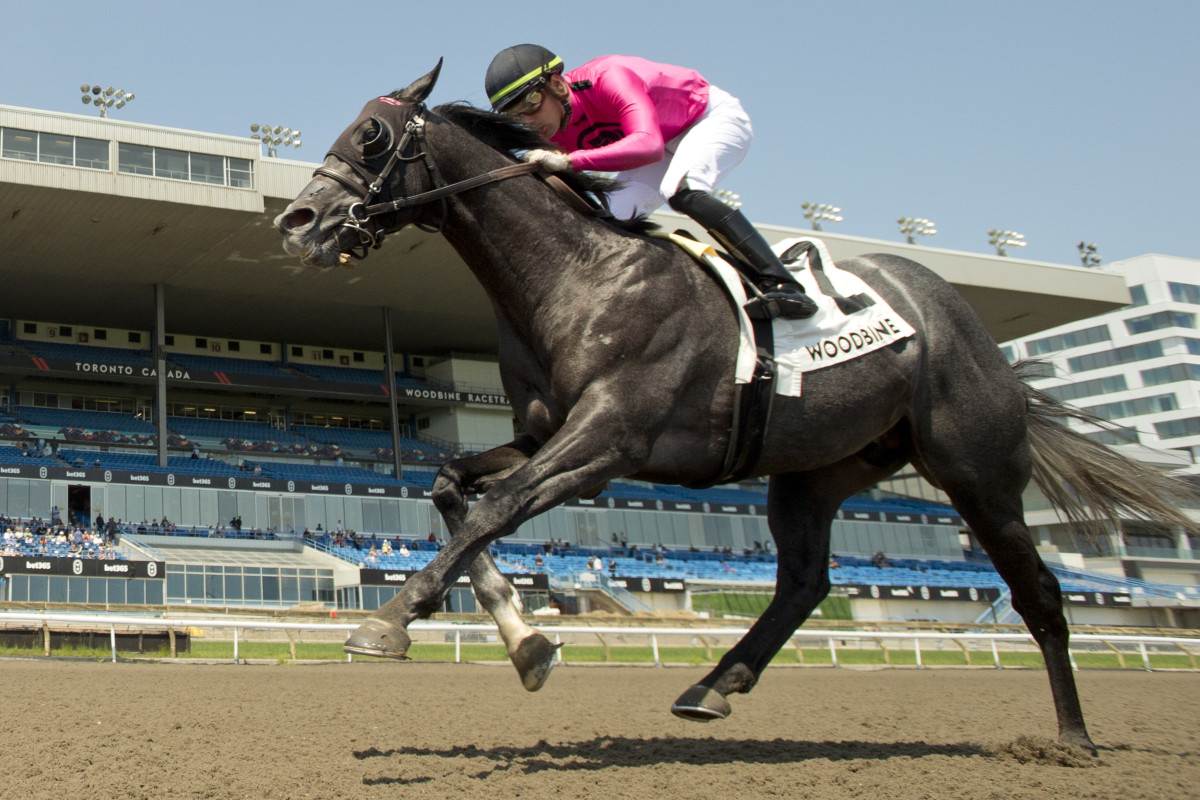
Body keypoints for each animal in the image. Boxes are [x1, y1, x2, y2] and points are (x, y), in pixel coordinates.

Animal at [273, 62, 1195, 753]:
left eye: (372, 134)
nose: (298, 219)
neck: (578, 275)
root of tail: (959, 317)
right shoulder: (549, 433)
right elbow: (450, 488)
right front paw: (527, 640)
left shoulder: (607, 439)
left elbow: (495, 506)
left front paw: (391, 622)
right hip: (816, 471)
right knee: (804, 581)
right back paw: (714, 685)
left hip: (977, 471)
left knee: (1038, 591)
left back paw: (1073, 738)